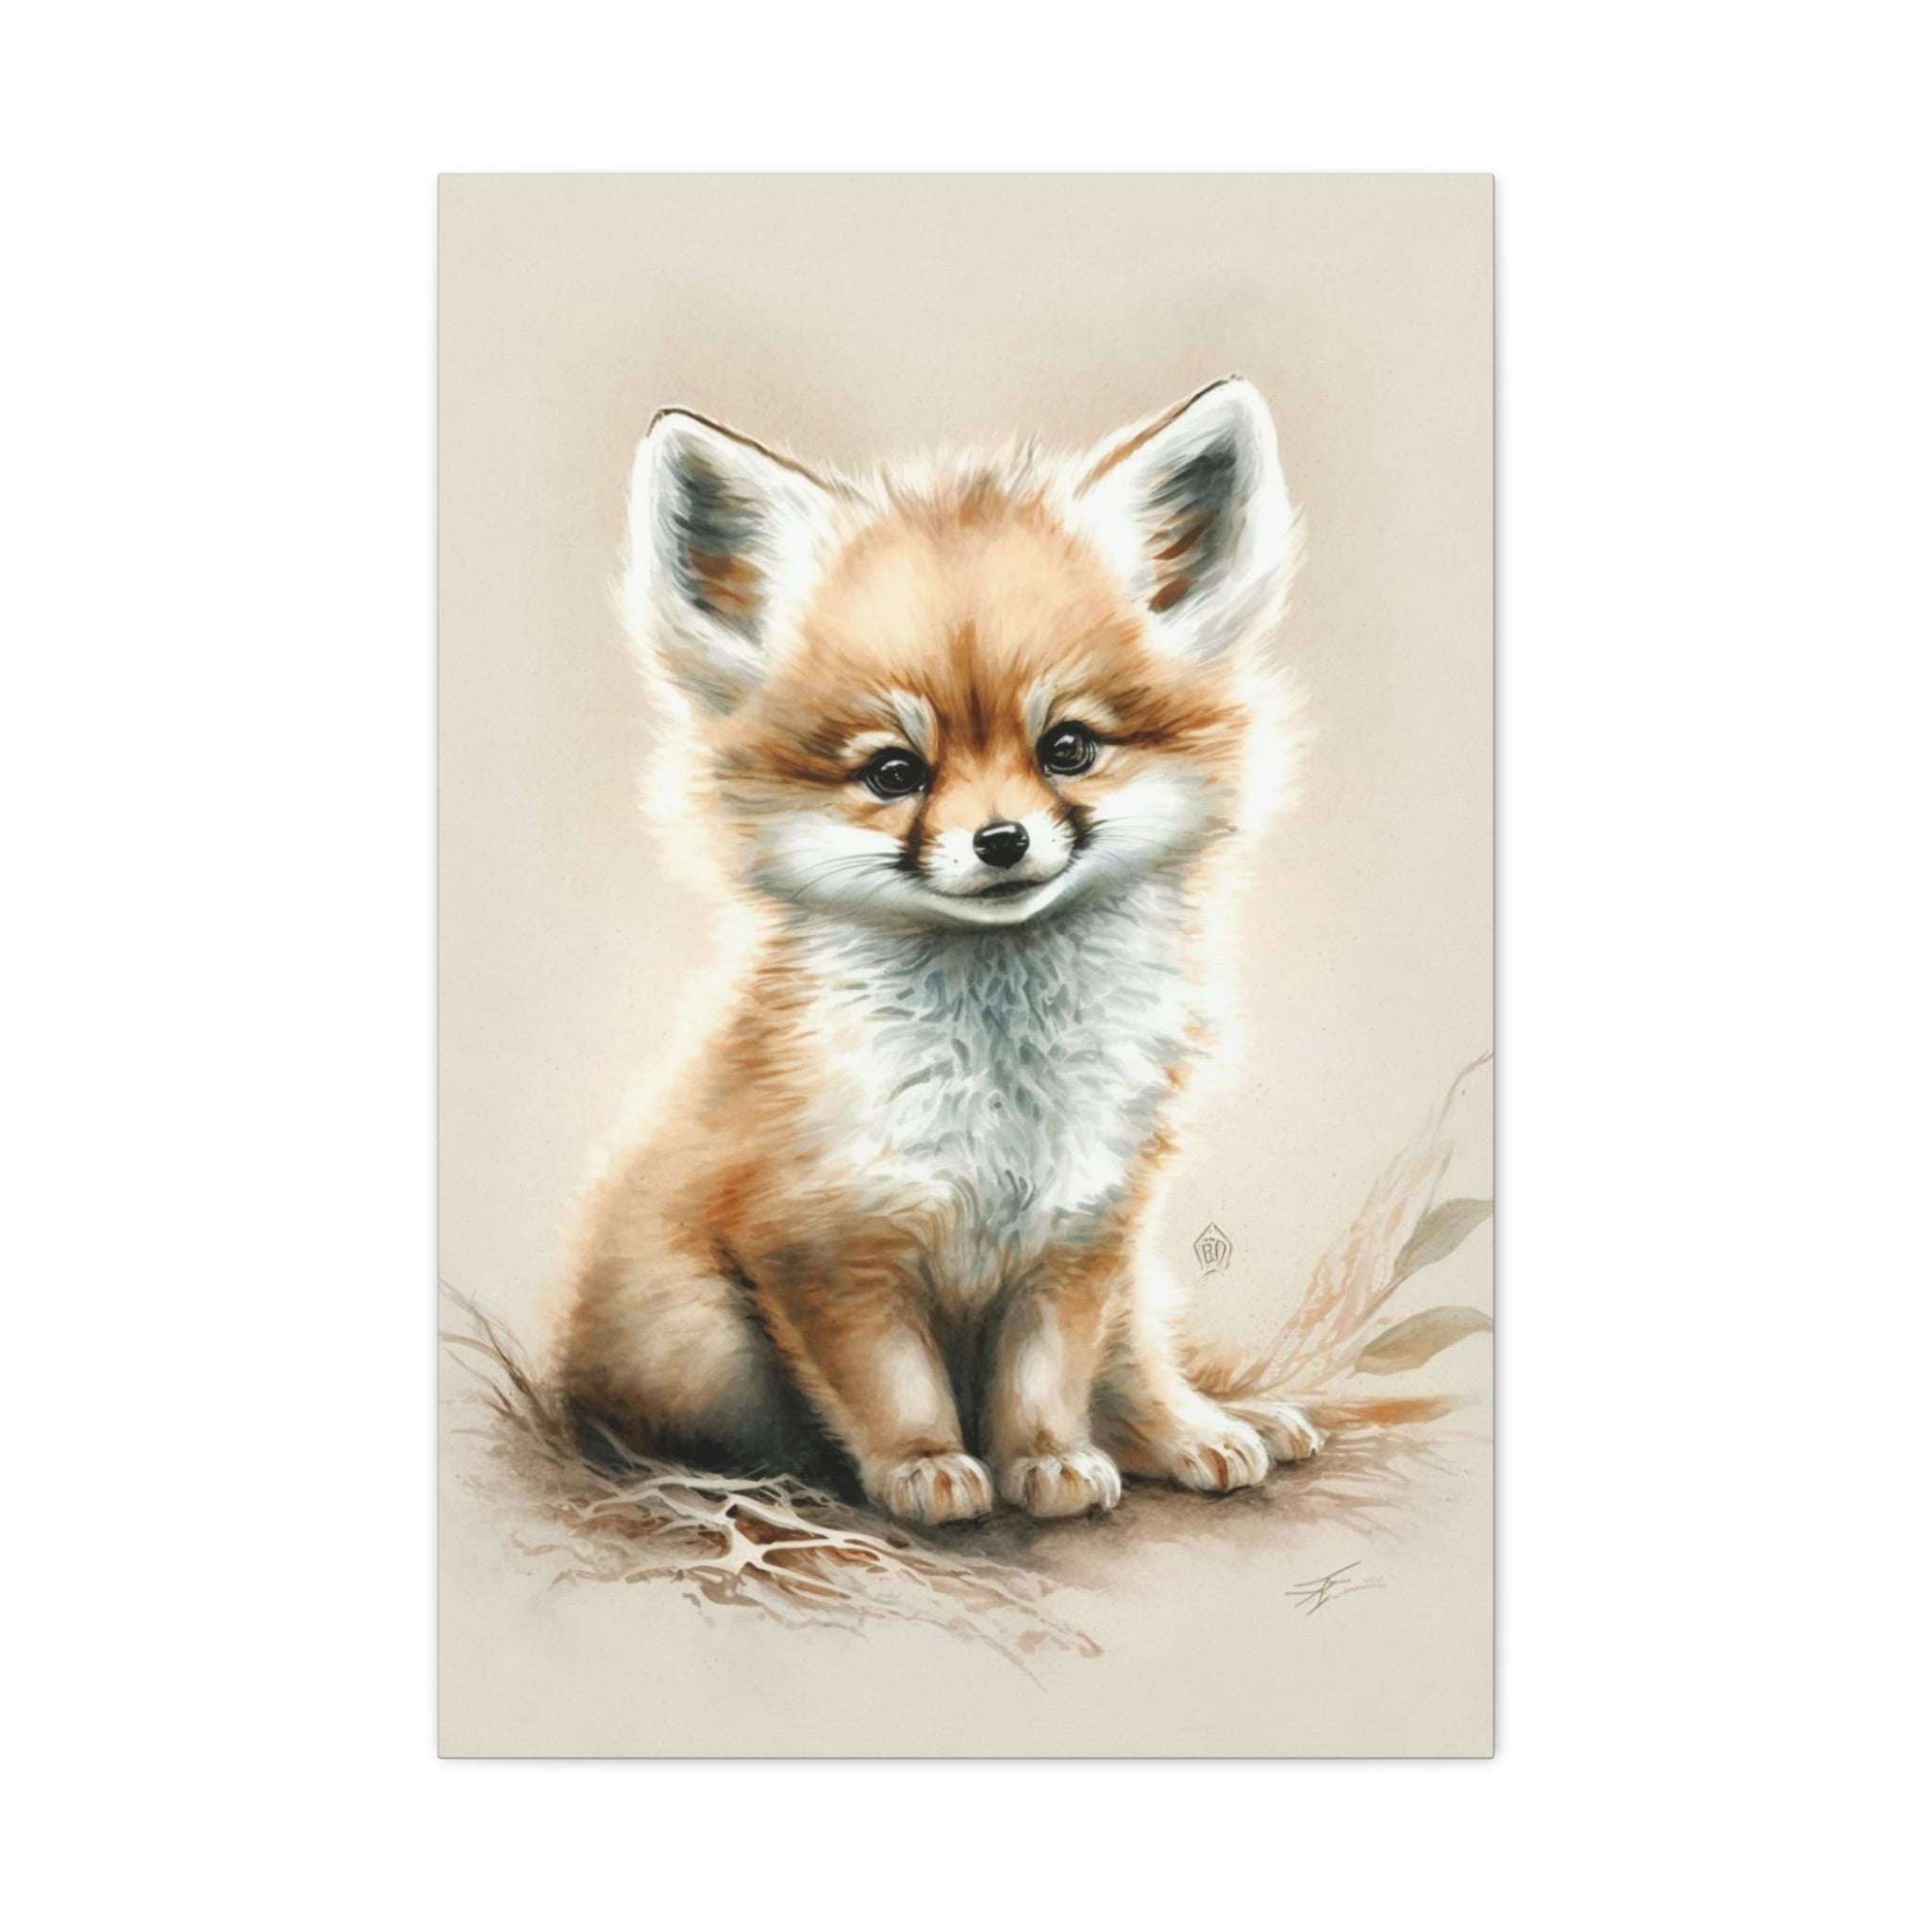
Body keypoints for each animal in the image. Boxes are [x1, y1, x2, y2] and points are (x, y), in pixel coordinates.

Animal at [555, 375, 1324, 1525]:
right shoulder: (824, 1248)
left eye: (1066, 748)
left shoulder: (1079, 1236)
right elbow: (891, 1381)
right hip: (690, 1339)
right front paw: (923, 1465)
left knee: (1142, 1373)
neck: (1000, 1104)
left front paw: (1047, 1461)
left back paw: (1207, 1430)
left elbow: (1048, 1377)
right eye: (893, 772)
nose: (999, 841)